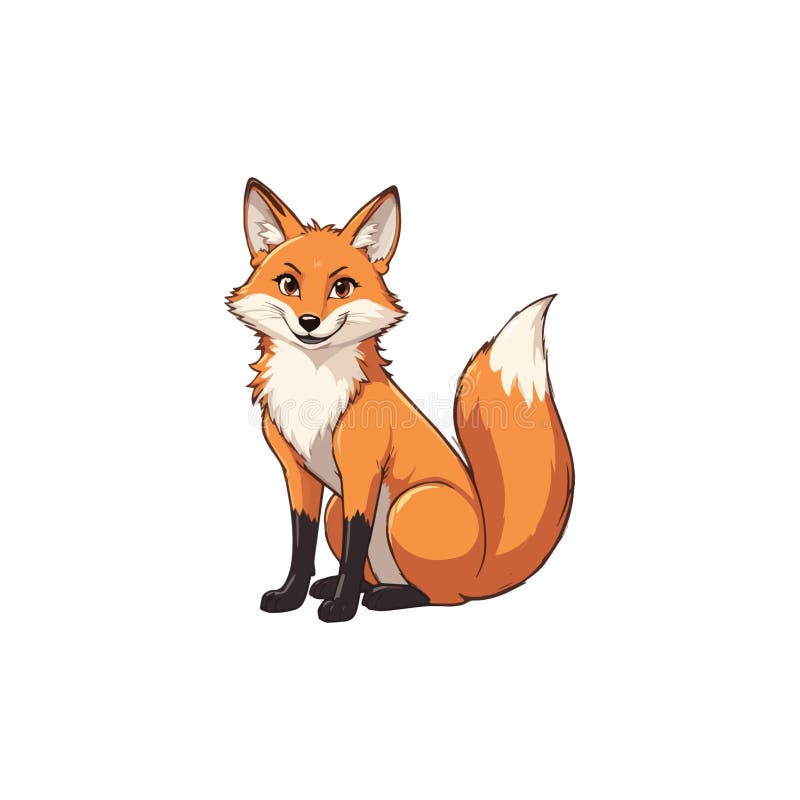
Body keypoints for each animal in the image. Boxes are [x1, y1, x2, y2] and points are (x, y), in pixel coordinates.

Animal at [227, 179, 574, 622]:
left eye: (341, 288)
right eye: (289, 285)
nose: (309, 323)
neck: (313, 389)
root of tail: (481, 570)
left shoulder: (362, 471)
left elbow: (354, 549)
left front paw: (342, 607)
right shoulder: (297, 473)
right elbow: (301, 546)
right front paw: (292, 596)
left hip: (406, 509)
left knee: (440, 597)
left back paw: (383, 597)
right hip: (336, 509)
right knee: (379, 574)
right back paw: (345, 587)